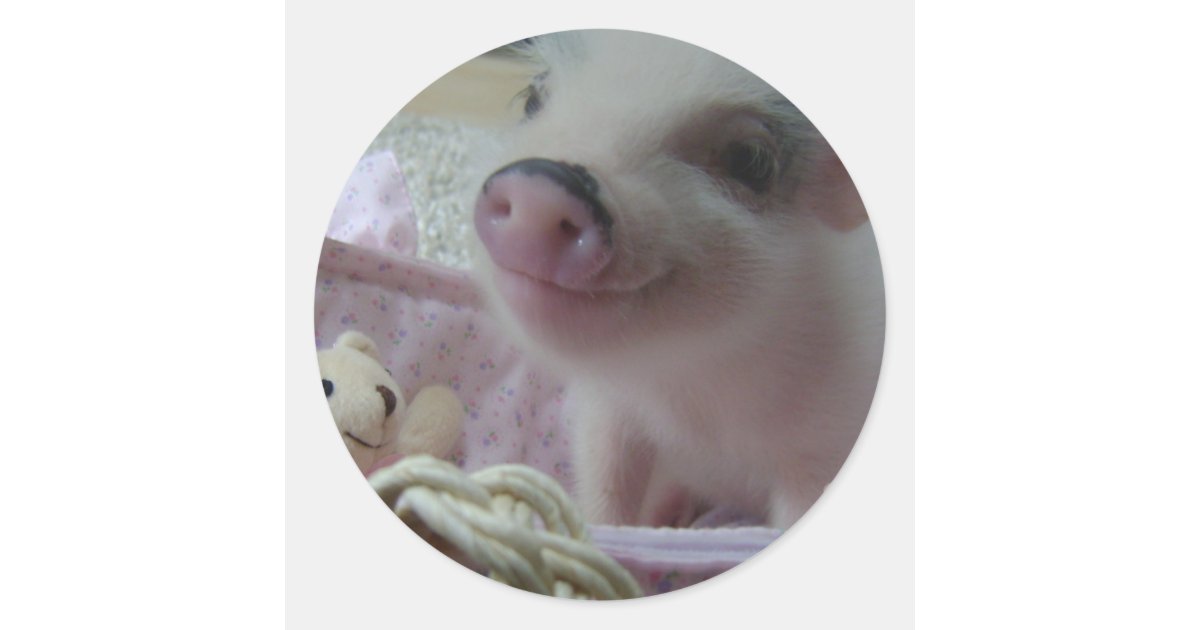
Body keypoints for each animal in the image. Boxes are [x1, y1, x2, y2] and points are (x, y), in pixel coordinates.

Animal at [468, 30, 885, 529]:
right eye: (533, 100)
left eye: (751, 160)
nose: (541, 185)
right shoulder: (607, 410)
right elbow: (606, 486)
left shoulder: (822, 445)